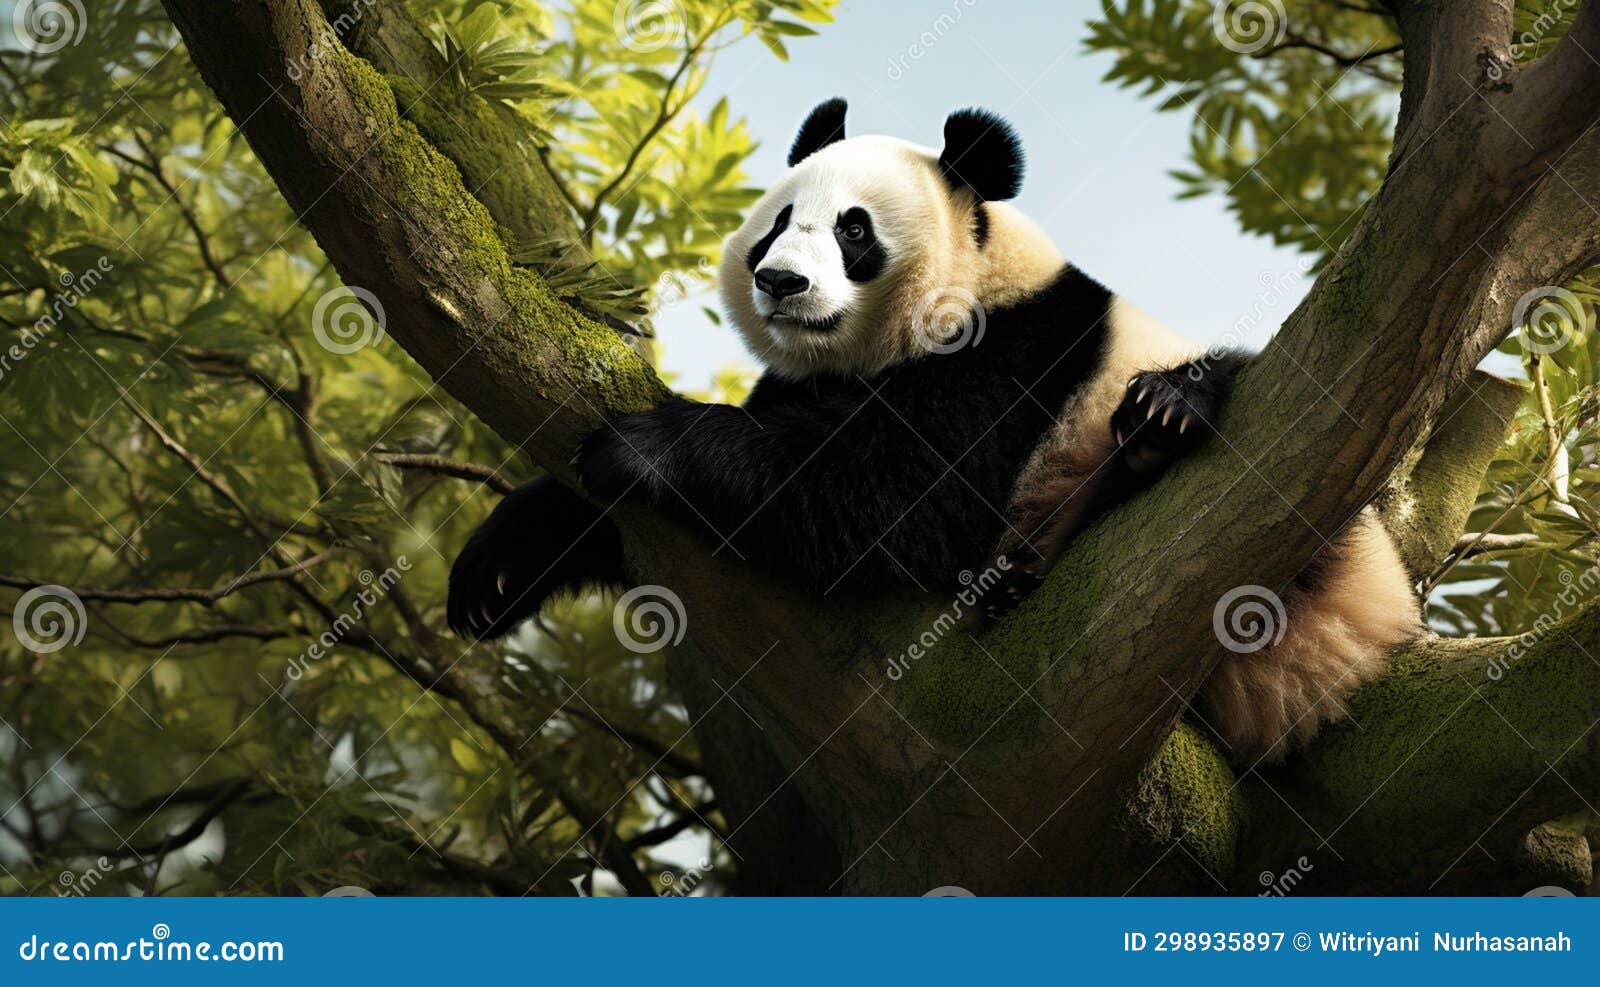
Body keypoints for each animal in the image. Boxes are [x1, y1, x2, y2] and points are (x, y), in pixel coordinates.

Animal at [448, 98, 1420, 762]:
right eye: (776, 224)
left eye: (853, 230)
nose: (780, 284)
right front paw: (495, 570)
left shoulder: (1009, 358)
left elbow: (898, 494)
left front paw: (647, 446)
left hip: (1307, 563)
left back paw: (1150, 434)